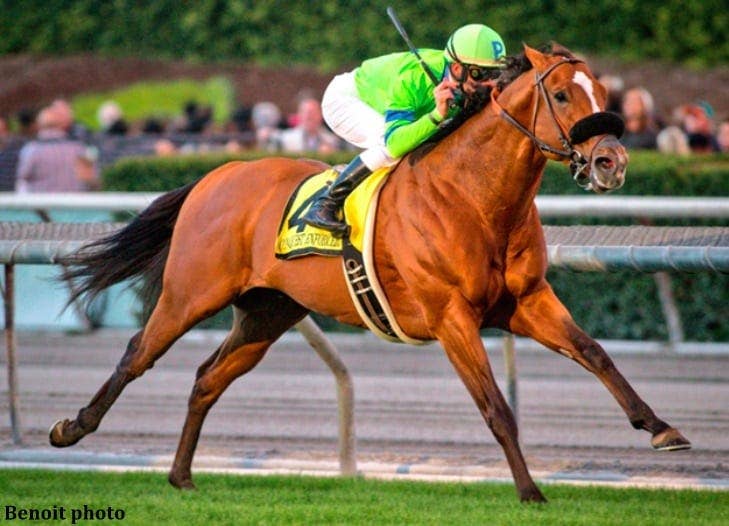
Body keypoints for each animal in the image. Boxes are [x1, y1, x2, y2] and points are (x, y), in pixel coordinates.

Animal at [51, 44, 690, 503]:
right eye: (560, 94)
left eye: (602, 92)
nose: (611, 162)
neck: (475, 198)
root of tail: (216, 174)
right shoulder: (452, 317)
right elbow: (496, 407)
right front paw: (531, 492)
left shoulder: (527, 301)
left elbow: (595, 353)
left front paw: (661, 428)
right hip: (190, 294)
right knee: (137, 355)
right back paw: (71, 429)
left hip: (267, 312)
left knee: (208, 378)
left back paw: (181, 476)